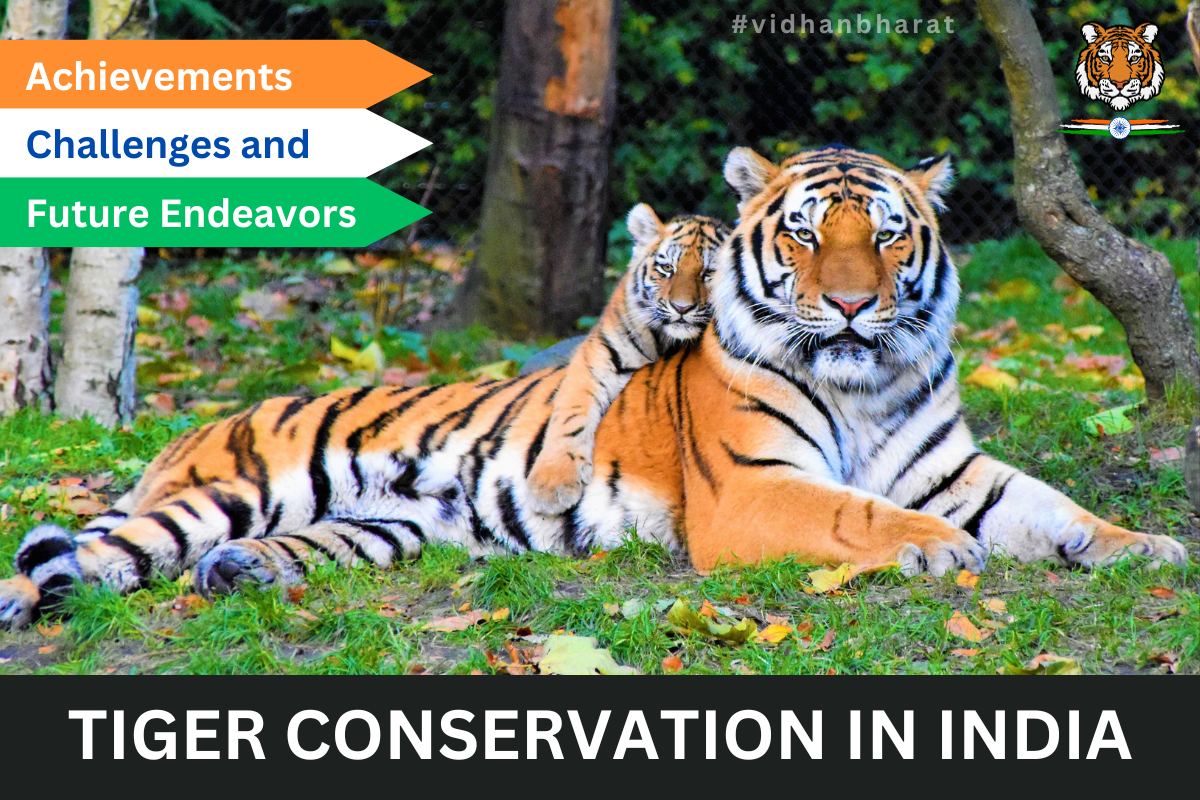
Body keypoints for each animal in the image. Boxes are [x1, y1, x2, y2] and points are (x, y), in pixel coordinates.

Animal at [525, 204, 728, 514]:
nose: (682, 308)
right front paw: (551, 485)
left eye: (709, 272)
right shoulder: (598, 356)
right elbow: (571, 412)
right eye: (667, 268)